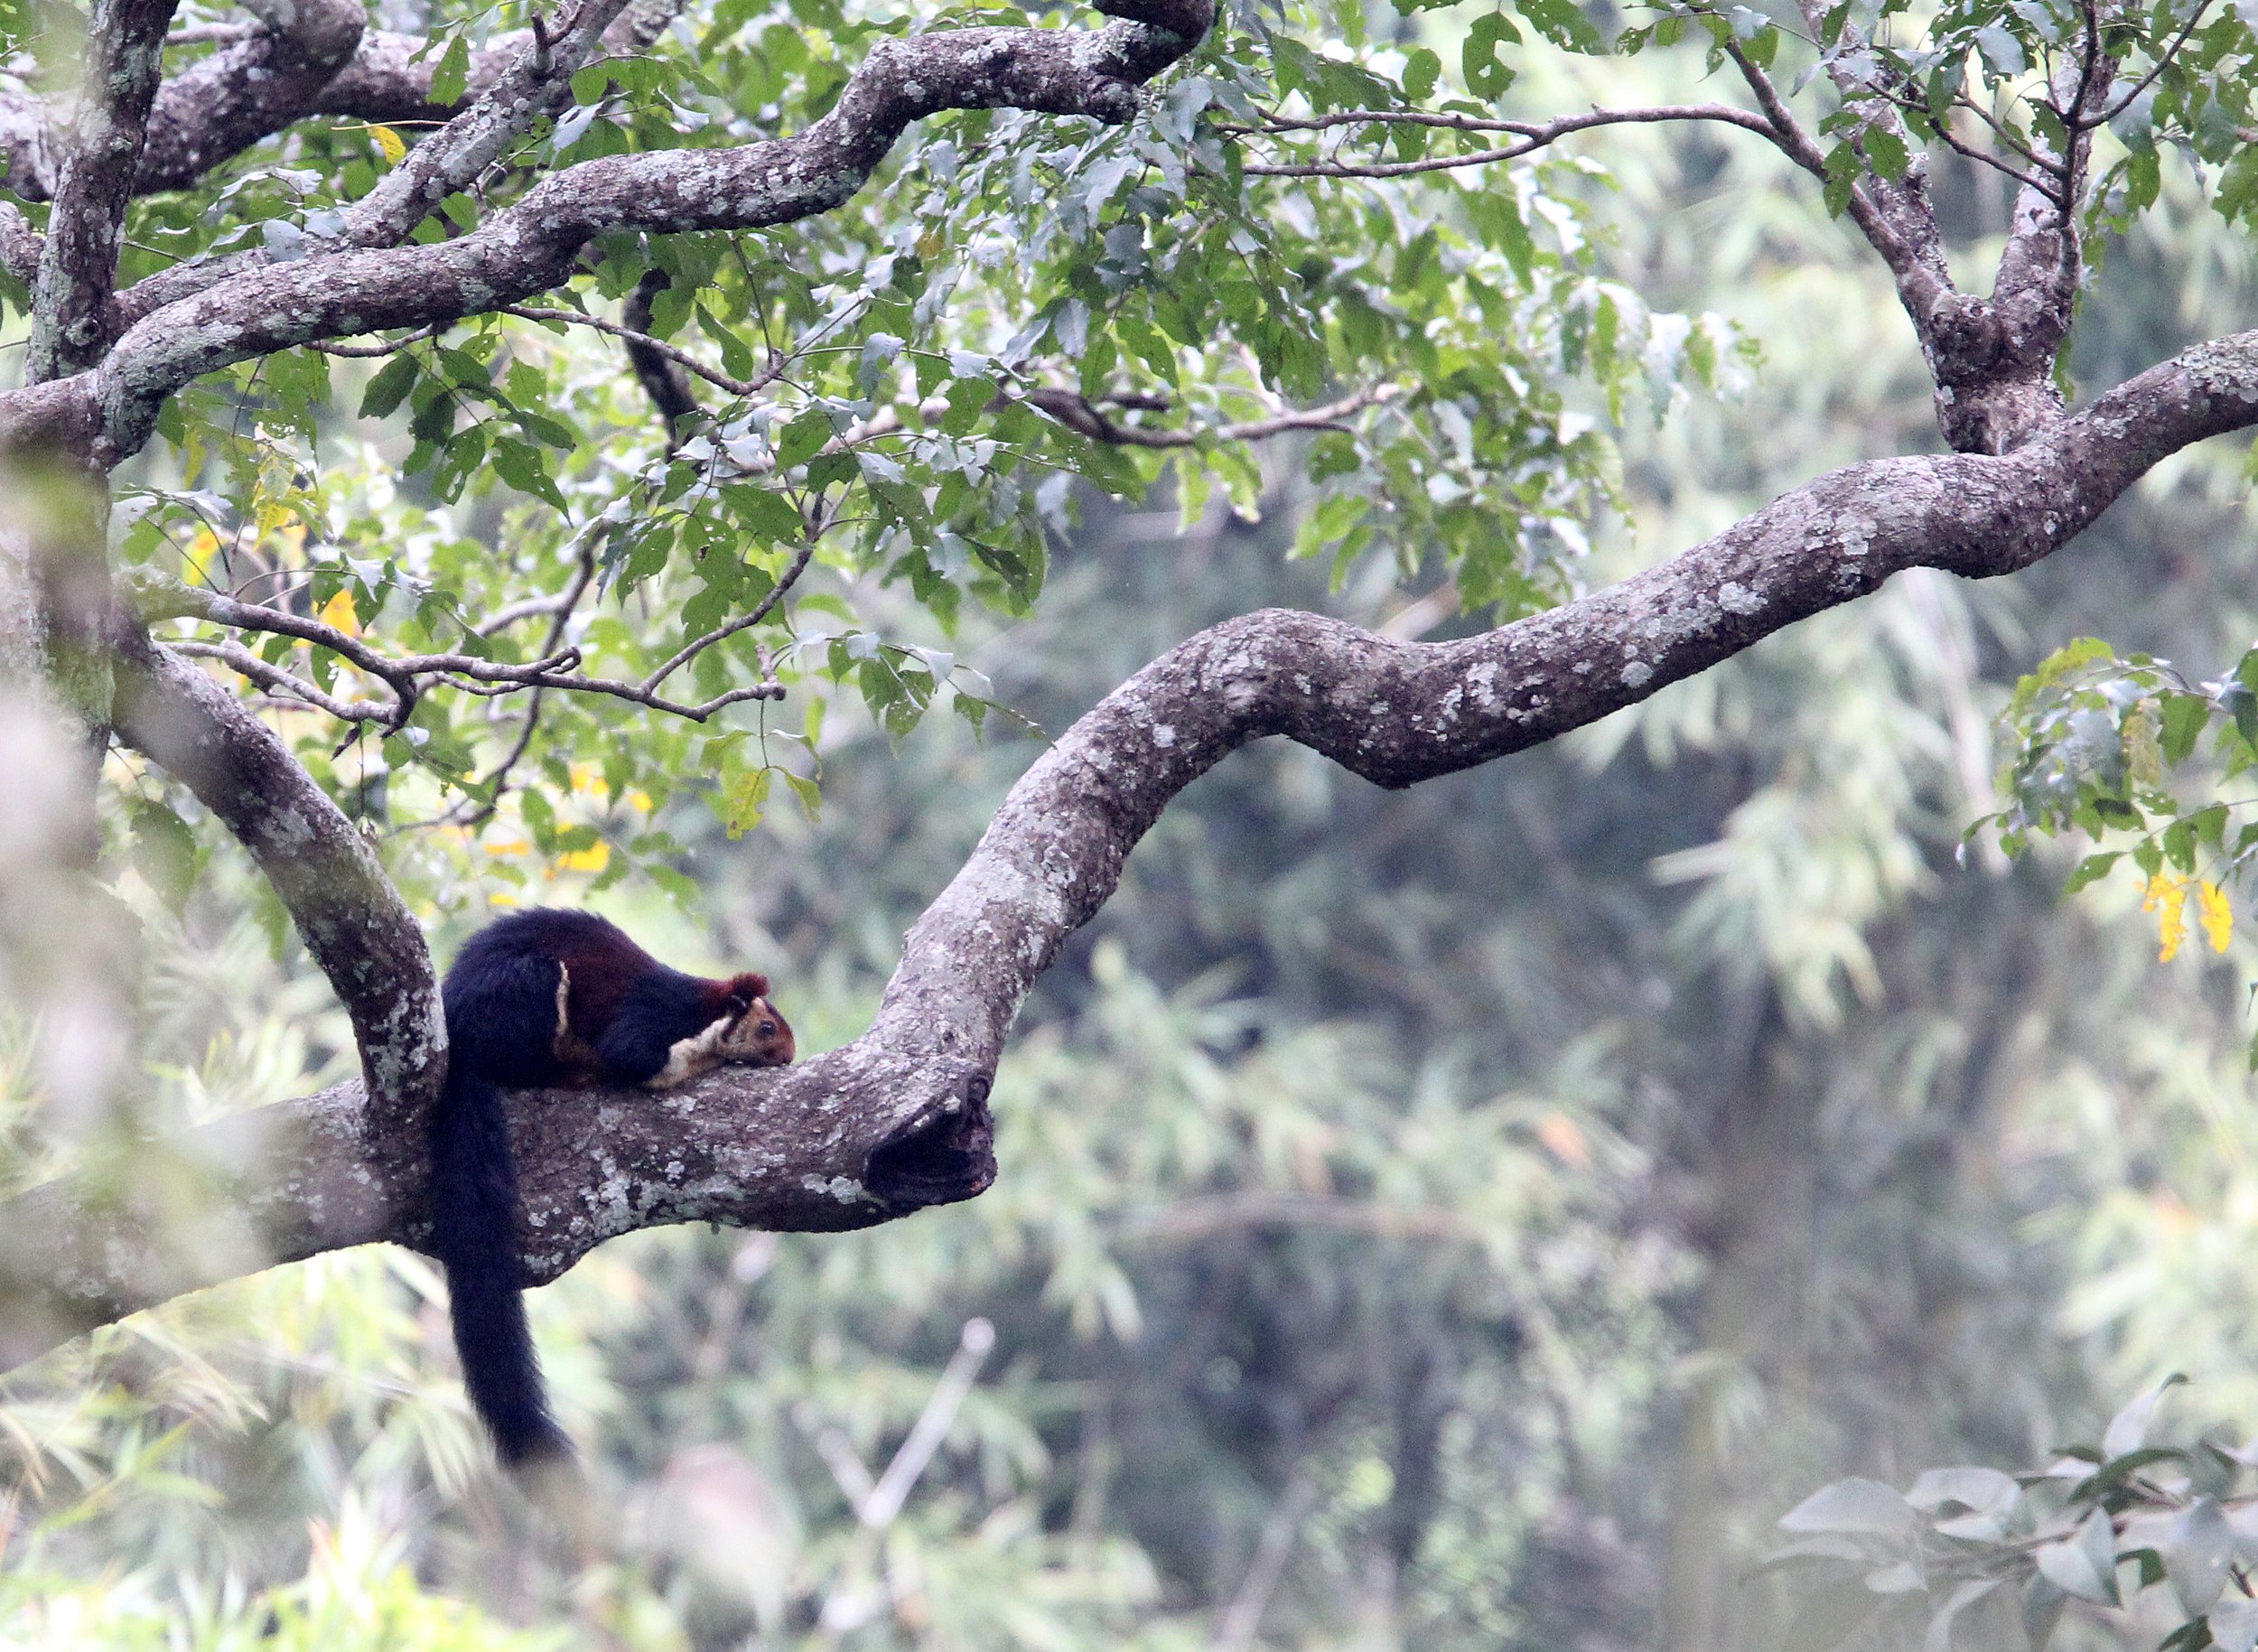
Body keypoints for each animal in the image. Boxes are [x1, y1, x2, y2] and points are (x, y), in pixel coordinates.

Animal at [428, 908, 796, 1467]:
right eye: (768, 1027)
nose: (791, 1057)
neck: (701, 1012)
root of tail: (457, 1032)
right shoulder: (650, 1022)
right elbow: (640, 1060)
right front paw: (703, 1061)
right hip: (526, 988)